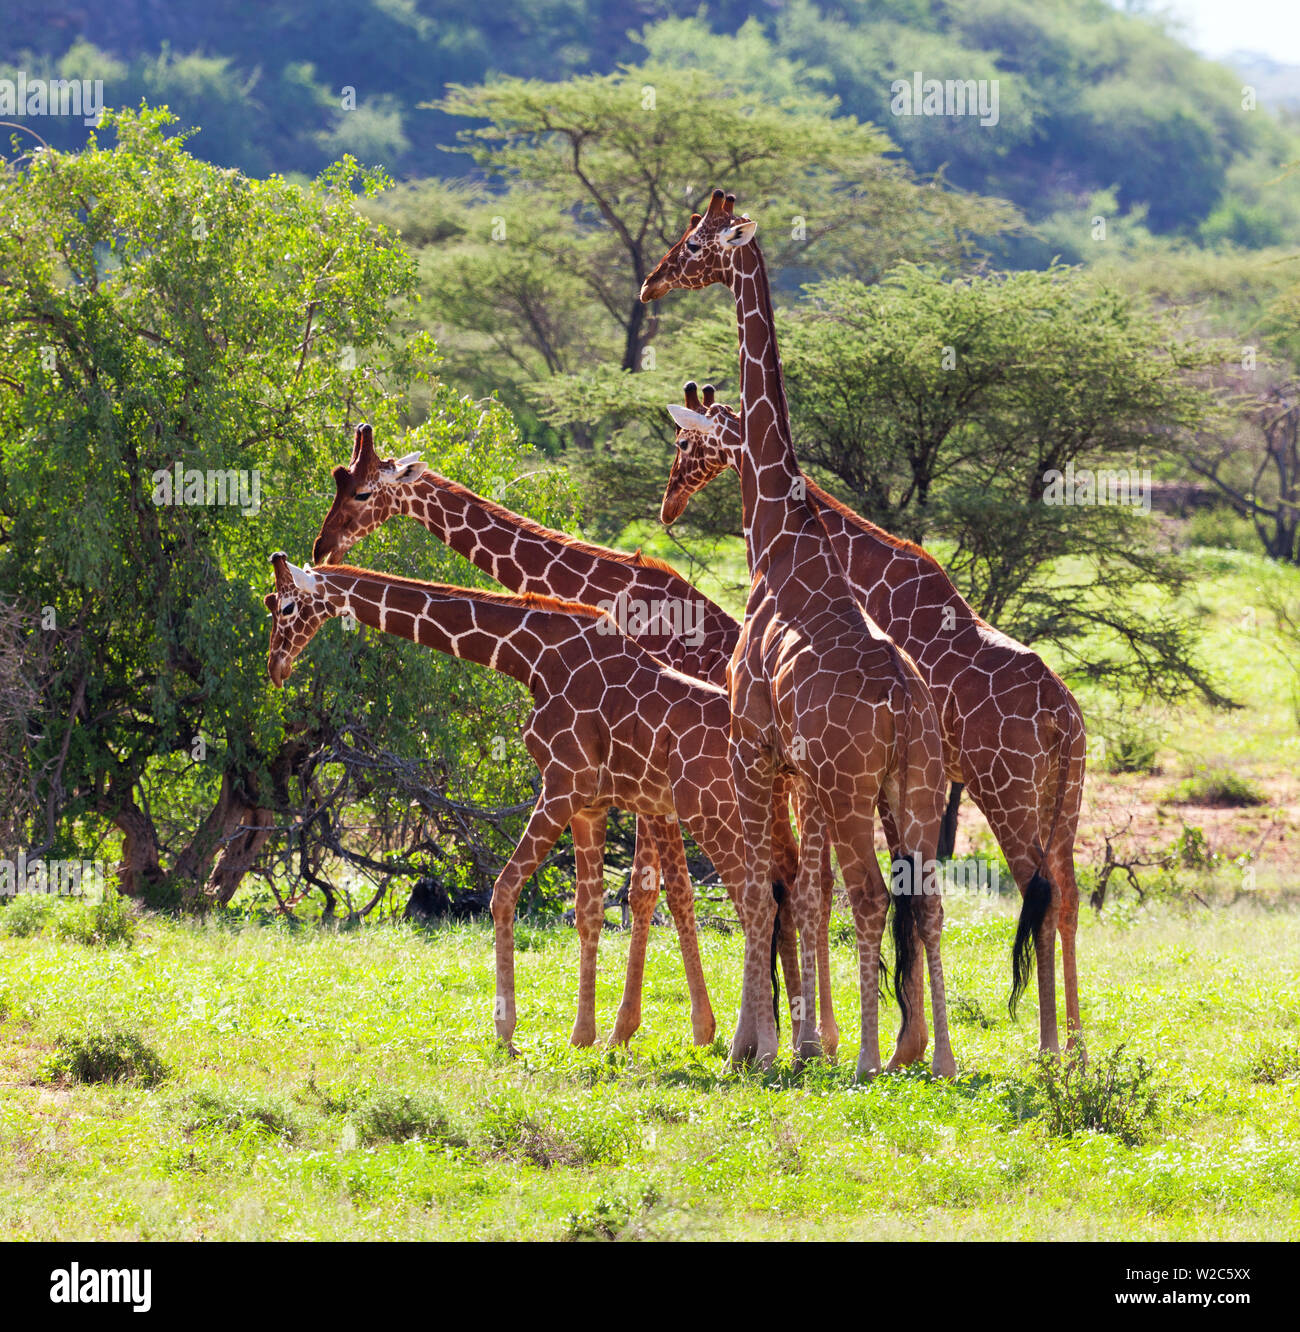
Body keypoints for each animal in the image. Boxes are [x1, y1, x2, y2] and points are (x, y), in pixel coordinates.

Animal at [309, 424, 840, 1054]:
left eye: (363, 492)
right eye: (338, 482)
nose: (321, 547)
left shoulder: (643, 771)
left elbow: (654, 891)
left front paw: (654, 1027)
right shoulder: (640, 778)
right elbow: (652, 892)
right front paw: (641, 1027)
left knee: (798, 882)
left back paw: (808, 1035)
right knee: (800, 879)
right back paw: (811, 1033)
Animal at [641, 190, 956, 1079]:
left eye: (696, 242)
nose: (649, 282)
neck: (781, 542)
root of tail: (905, 709)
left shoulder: (752, 744)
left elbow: (760, 888)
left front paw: (750, 1049)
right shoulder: (798, 769)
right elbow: (798, 891)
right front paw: (795, 1042)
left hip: (854, 787)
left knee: (871, 896)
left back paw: (870, 1062)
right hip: (913, 786)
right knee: (927, 904)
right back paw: (938, 1061)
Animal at [660, 374, 1088, 1056]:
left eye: (682, 440)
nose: (668, 504)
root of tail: (1066, 718)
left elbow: (828, 888)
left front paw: (837, 1039)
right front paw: (889, 1038)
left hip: (1007, 790)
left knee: (1036, 893)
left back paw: (1049, 1047)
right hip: (1061, 797)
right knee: (1067, 895)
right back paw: (1076, 1045)